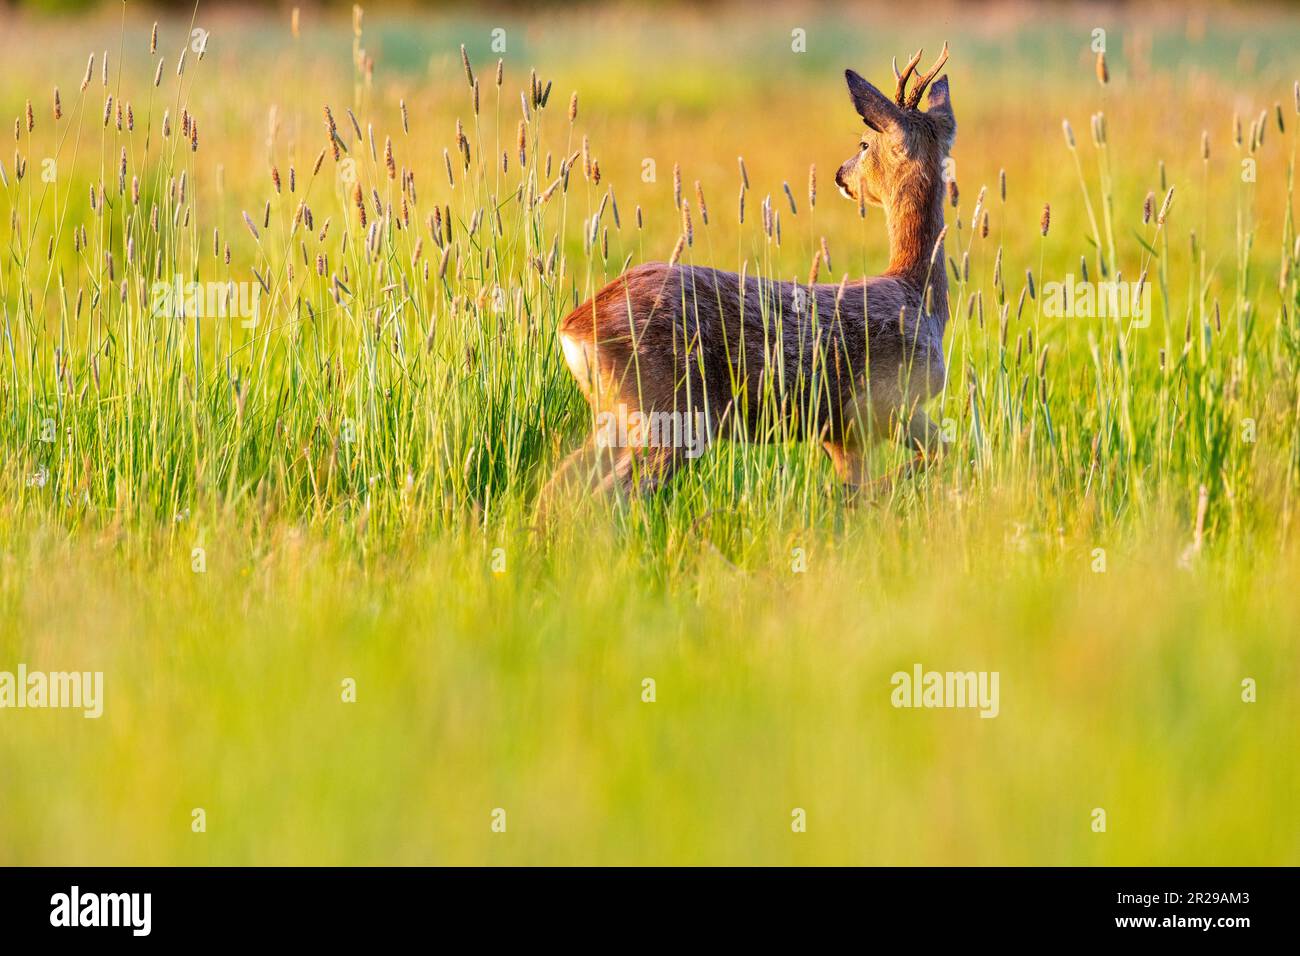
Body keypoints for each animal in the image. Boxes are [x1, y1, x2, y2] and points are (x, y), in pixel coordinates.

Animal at [538, 44, 956, 512]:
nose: (839, 174)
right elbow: (942, 453)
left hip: (616, 415)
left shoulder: (841, 431)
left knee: (558, 487)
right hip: (672, 412)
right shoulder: (882, 403)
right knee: (613, 494)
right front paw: (846, 497)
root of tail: (575, 327)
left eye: (865, 144)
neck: (918, 292)